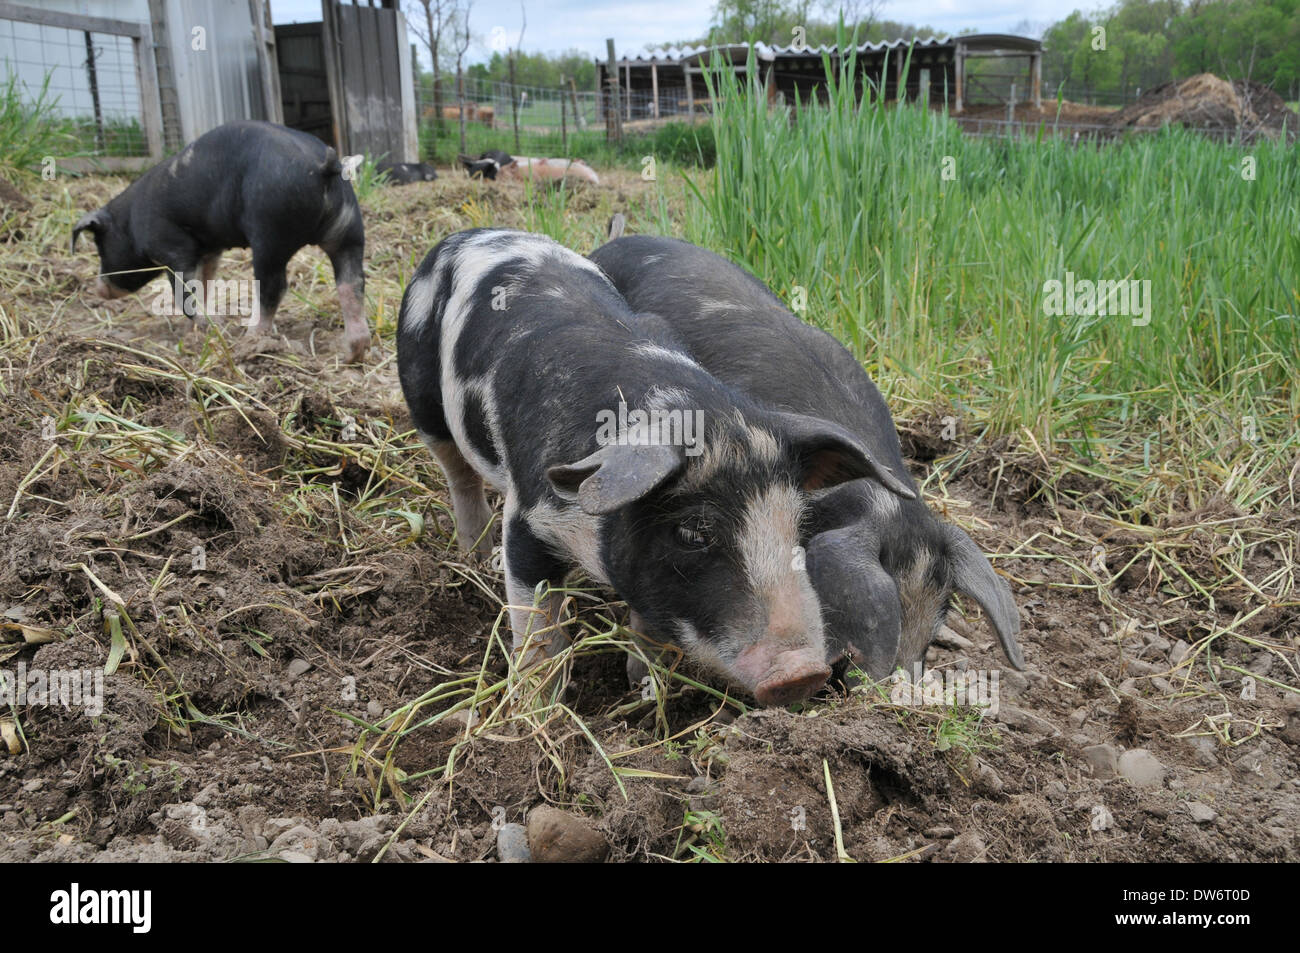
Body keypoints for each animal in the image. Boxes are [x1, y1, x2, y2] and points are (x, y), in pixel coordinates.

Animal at [71, 120, 370, 363]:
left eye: (100, 247)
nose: (99, 289)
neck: (130, 223)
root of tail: (324, 167)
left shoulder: (172, 248)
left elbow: (185, 292)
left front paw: (211, 326)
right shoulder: (209, 250)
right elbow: (204, 283)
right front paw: (204, 326)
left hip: (270, 235)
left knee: (273, 287)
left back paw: (250, 339)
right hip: (348, 231)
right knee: (352, 284)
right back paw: (352, 355)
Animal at [396, 228, 916, 706]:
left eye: (798, 526)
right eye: (692, 532)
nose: (803, 673)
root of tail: (468, 235)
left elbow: (647, 623)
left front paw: (641, 688)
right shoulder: (528, 518)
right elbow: (539, 628)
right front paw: (536, 709)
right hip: (420, 389)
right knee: (457, 472)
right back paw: (474, 553)